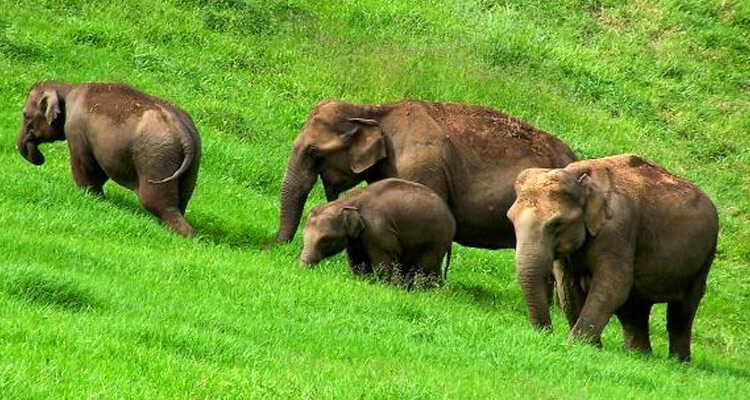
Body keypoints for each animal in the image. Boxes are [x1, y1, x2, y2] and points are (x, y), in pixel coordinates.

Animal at [16, 81, 201, 236]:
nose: (39, 158)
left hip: (156, 159)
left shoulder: (76, 130)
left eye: (26, 115)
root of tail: (182, 131)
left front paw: (90, 197)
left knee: (156, 203)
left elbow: (85, 167)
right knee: (181, 201)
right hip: (191, 163)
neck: (68, 87)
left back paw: (183, 235)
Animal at [300, 178, 456, 285]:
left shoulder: (378, 231)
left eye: (325, 240)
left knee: (427, 268)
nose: (304, 272)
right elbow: (358, 262)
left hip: (437, 239)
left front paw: (385, 286)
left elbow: (383, 263)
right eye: (303, 236)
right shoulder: (357, 239)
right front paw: (363, 281)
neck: (350, 201)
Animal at [506, 154, 718, 361]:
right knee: (634, 310)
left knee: (682, 312)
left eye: (557, 223)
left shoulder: (618, 229)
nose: (547, 333)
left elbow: (613, 285)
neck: (580, 177)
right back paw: (640, 356)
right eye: (511, 219)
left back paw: (678, 362)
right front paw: (592, 348)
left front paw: (577, 345)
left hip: (705, 257)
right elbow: (567, 287)